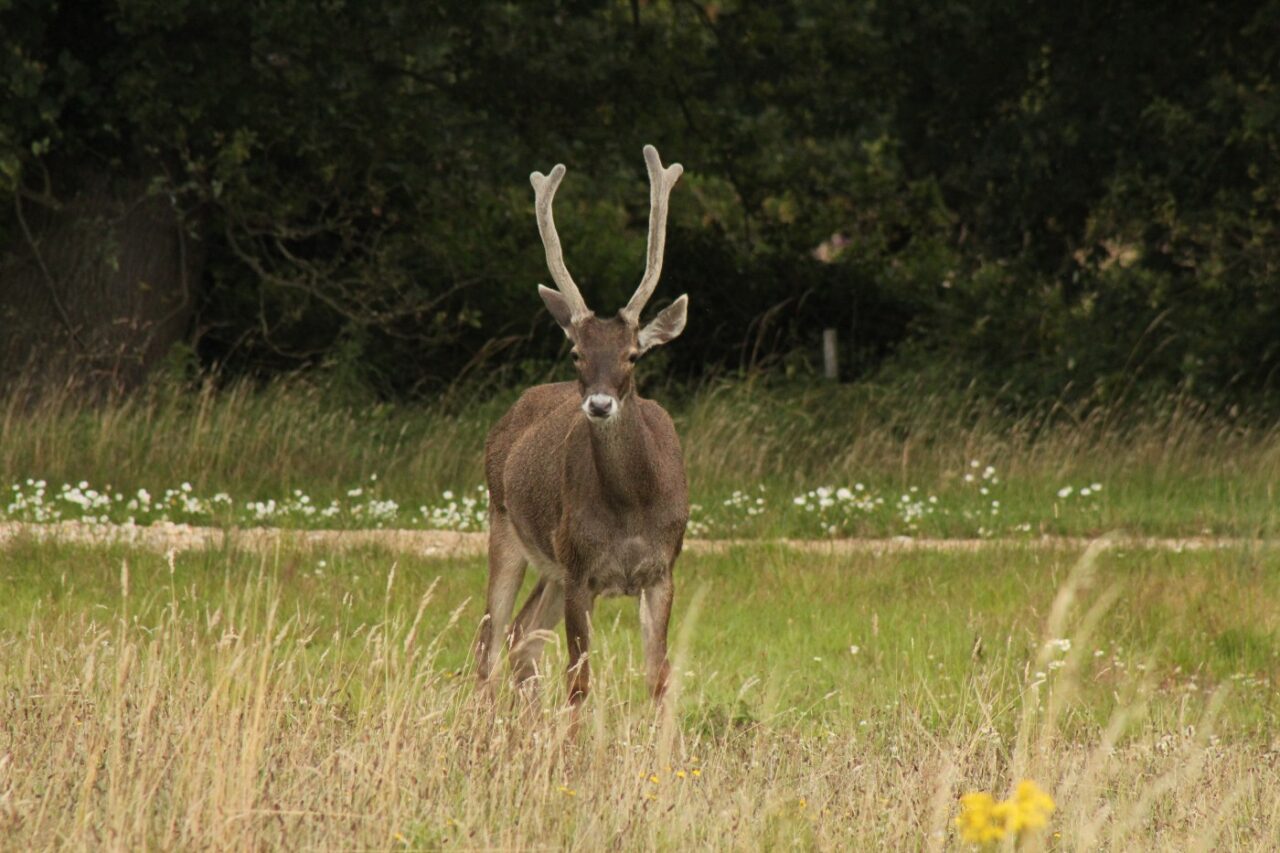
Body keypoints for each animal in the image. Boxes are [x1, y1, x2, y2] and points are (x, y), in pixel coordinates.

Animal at [476, 145, 690, 706]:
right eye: (576, 353)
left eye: (633, 354)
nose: (597, 404)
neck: (631, 511)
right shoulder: (579, 571)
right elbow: (578, 681)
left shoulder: (663, 569)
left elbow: (659, 678)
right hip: (504, 523)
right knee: (490, 637)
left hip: (549, 564)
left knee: (521, 636)